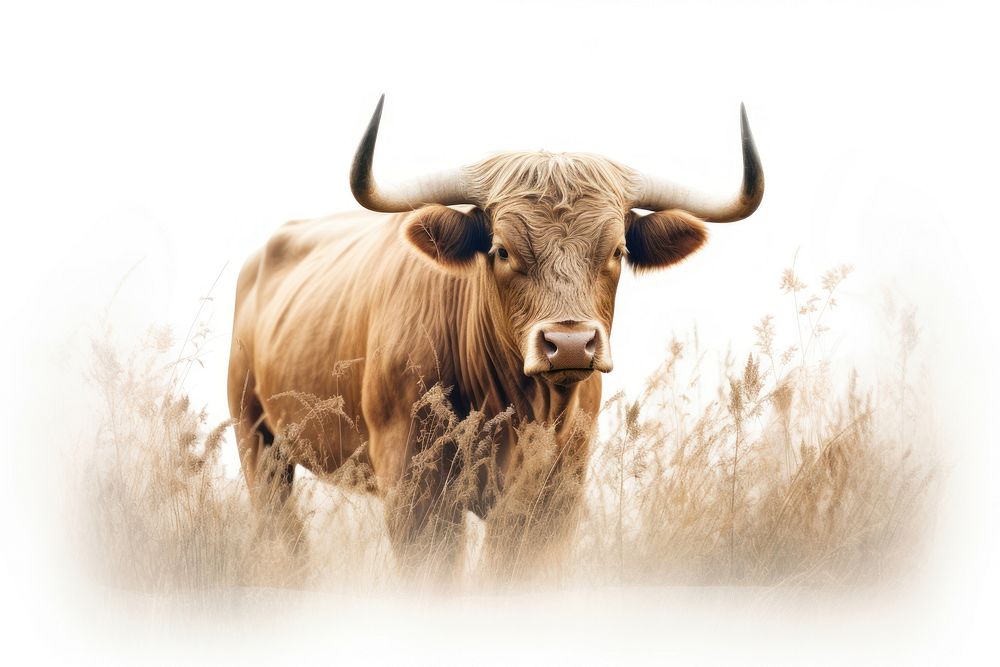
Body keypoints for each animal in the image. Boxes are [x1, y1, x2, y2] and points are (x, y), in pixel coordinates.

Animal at [227, 95, 764, 574]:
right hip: (259, 445)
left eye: (617, 250)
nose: (570, 344)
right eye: (503, 250)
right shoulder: (416, 493)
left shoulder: (552, 500)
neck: (519, 411)